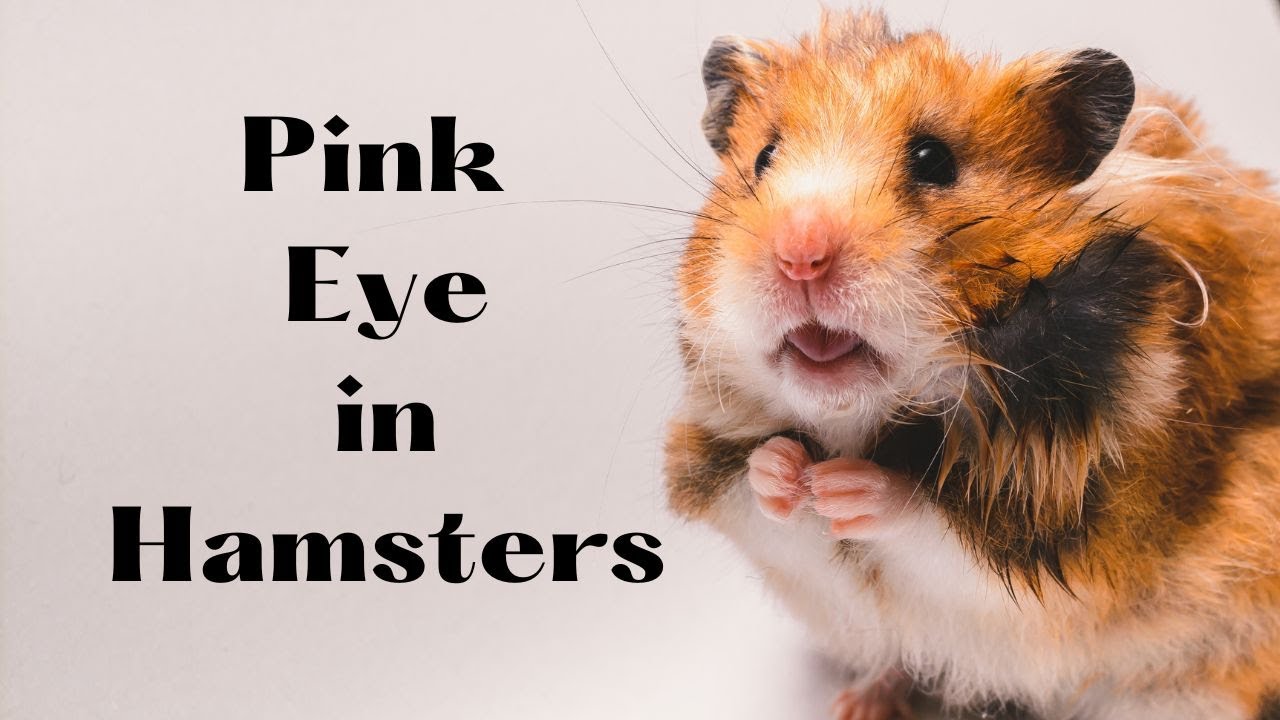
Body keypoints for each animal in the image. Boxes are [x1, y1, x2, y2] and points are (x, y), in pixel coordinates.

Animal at [663, 9, 1280, 720]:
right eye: (763, 158)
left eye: (935, 160)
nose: (800, 256)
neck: (856, 424)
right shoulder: (775, 539)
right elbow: (764, 502)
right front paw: (785, 472)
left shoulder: (1061, 553)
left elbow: (932, 526)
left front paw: (846, 488)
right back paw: (861, 703)